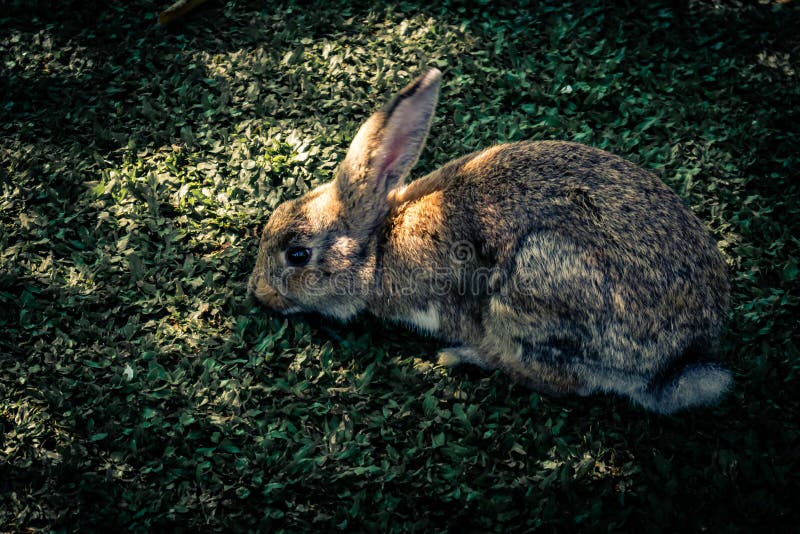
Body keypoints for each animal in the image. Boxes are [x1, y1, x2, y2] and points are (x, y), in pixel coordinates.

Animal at [248, 68, 732, 414]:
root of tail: (677, 364)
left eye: (297, 254)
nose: (259, 293)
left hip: (535, 284)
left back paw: (462, 356)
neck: (378, 246)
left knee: (563, 381)